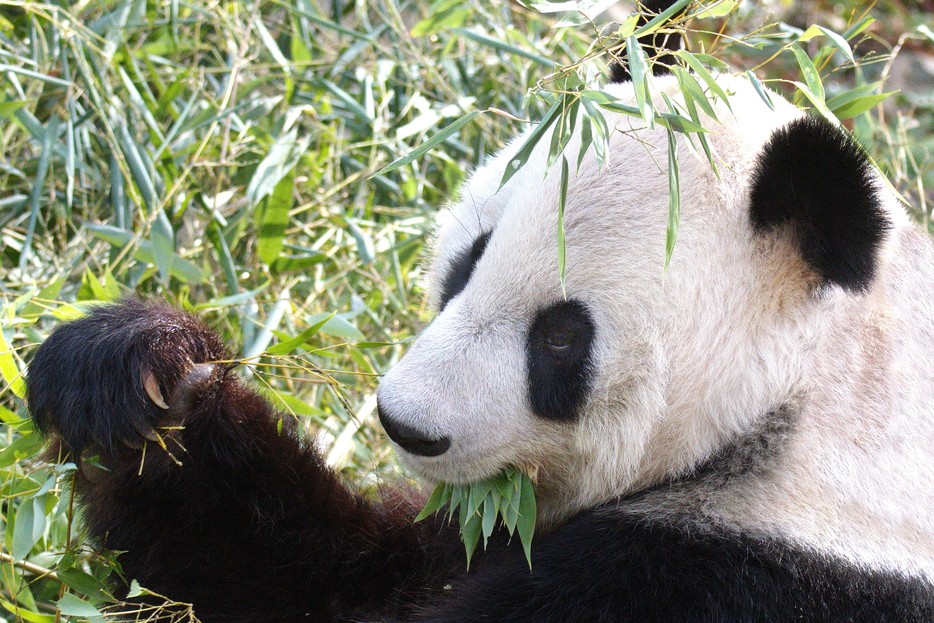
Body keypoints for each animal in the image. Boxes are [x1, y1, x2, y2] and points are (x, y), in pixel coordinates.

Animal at [25, 22, 934, 623]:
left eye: (562, 336)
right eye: (469, 256)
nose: (403, 422)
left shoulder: (755, 569)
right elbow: (319, 568)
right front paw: (139, 375)